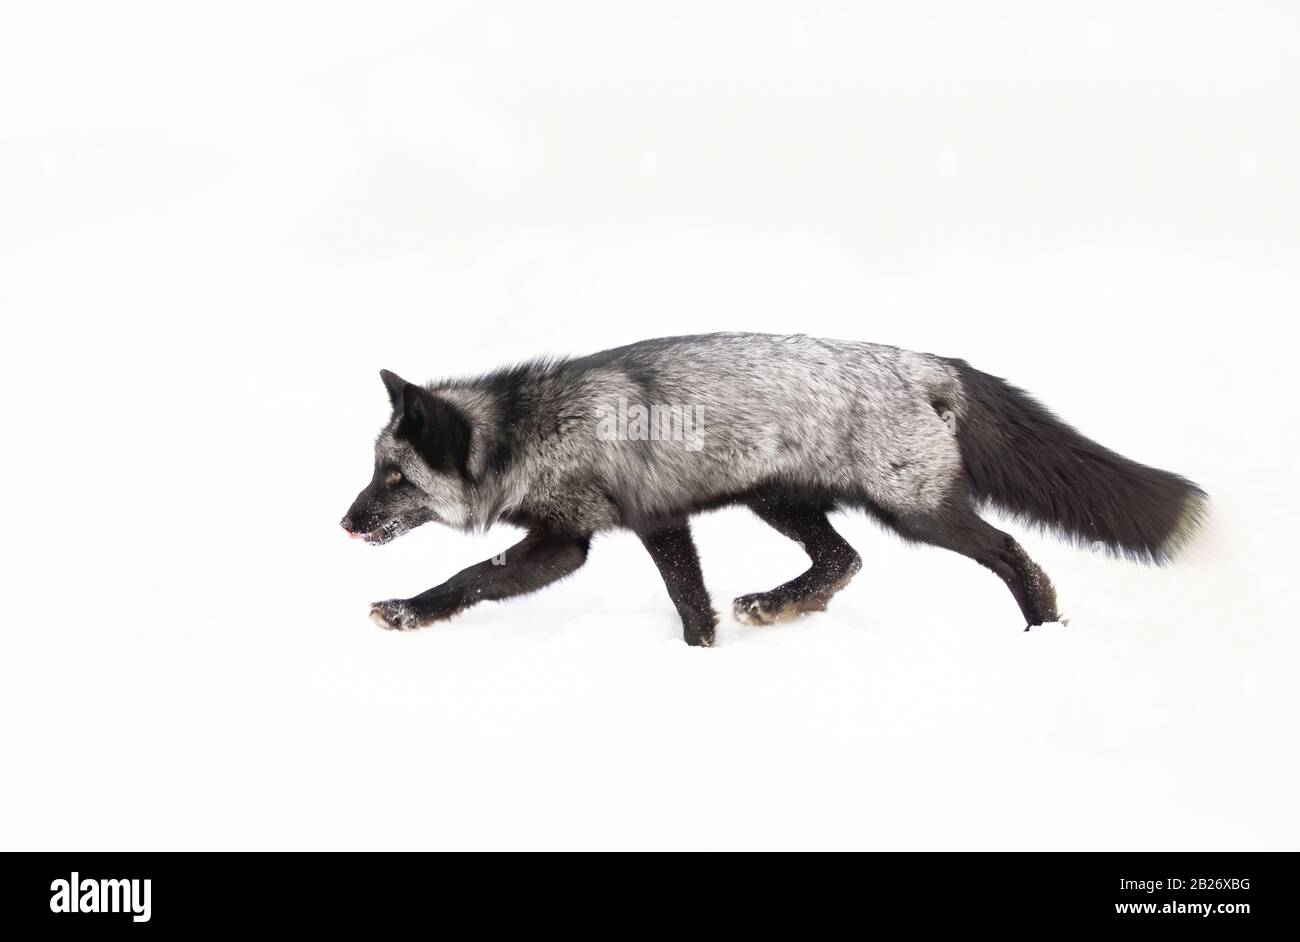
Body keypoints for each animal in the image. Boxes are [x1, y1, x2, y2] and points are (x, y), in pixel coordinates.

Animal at [341, 332, 1206, 646]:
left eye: (394, 475)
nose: (346, 524)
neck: (534, 427)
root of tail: (923, 361)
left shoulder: (646, 523)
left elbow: (684, 598)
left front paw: (697, 656)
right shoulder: (568, 539)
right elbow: (475, 579)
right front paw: (413, 611)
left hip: (919, 513)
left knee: (1008, 549)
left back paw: (1043, 627)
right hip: (780, 500)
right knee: (843, 560)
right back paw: (780, 604)